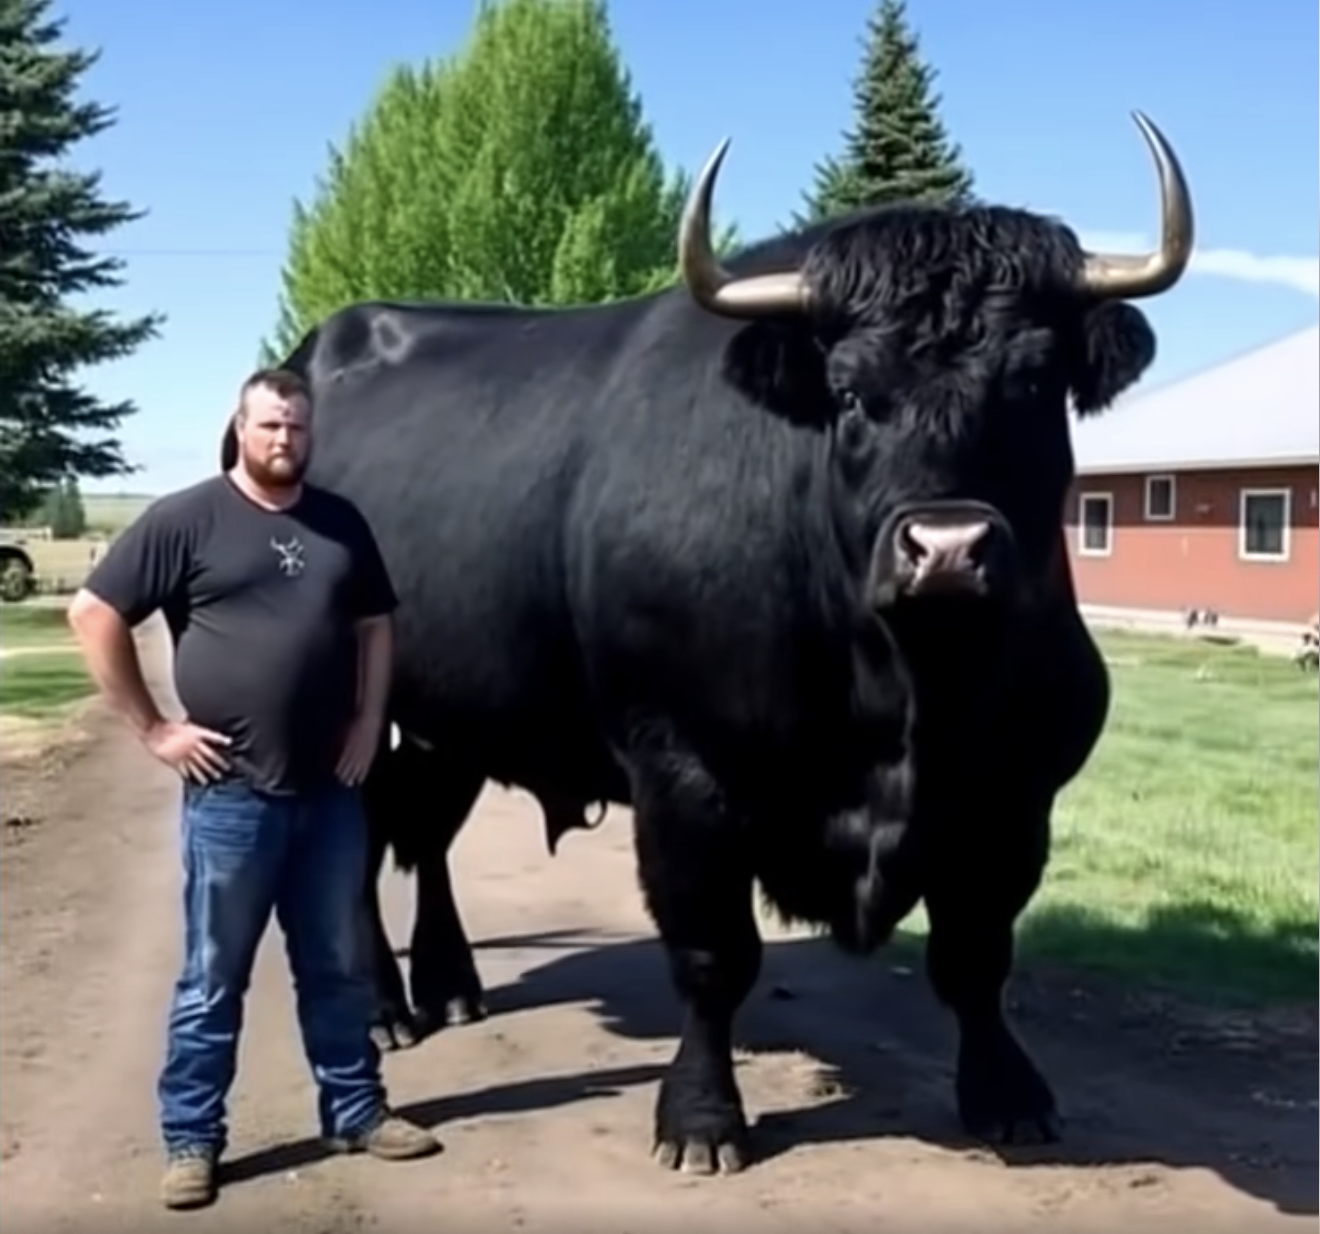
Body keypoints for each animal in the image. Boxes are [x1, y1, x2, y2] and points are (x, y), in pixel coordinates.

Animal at [223, 110, 1193, 1174]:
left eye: (1033, 384)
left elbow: (977, 955)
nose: (947, 549)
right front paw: (700, 1118)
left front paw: (1008, 1093)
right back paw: (383, 1011)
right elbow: (713, 956)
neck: (905, 701)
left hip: (452, 718)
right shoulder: (684, 773)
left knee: (422, 837)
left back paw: (450, 988)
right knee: (357, 851)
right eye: (850, 393)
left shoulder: (1016, 790)